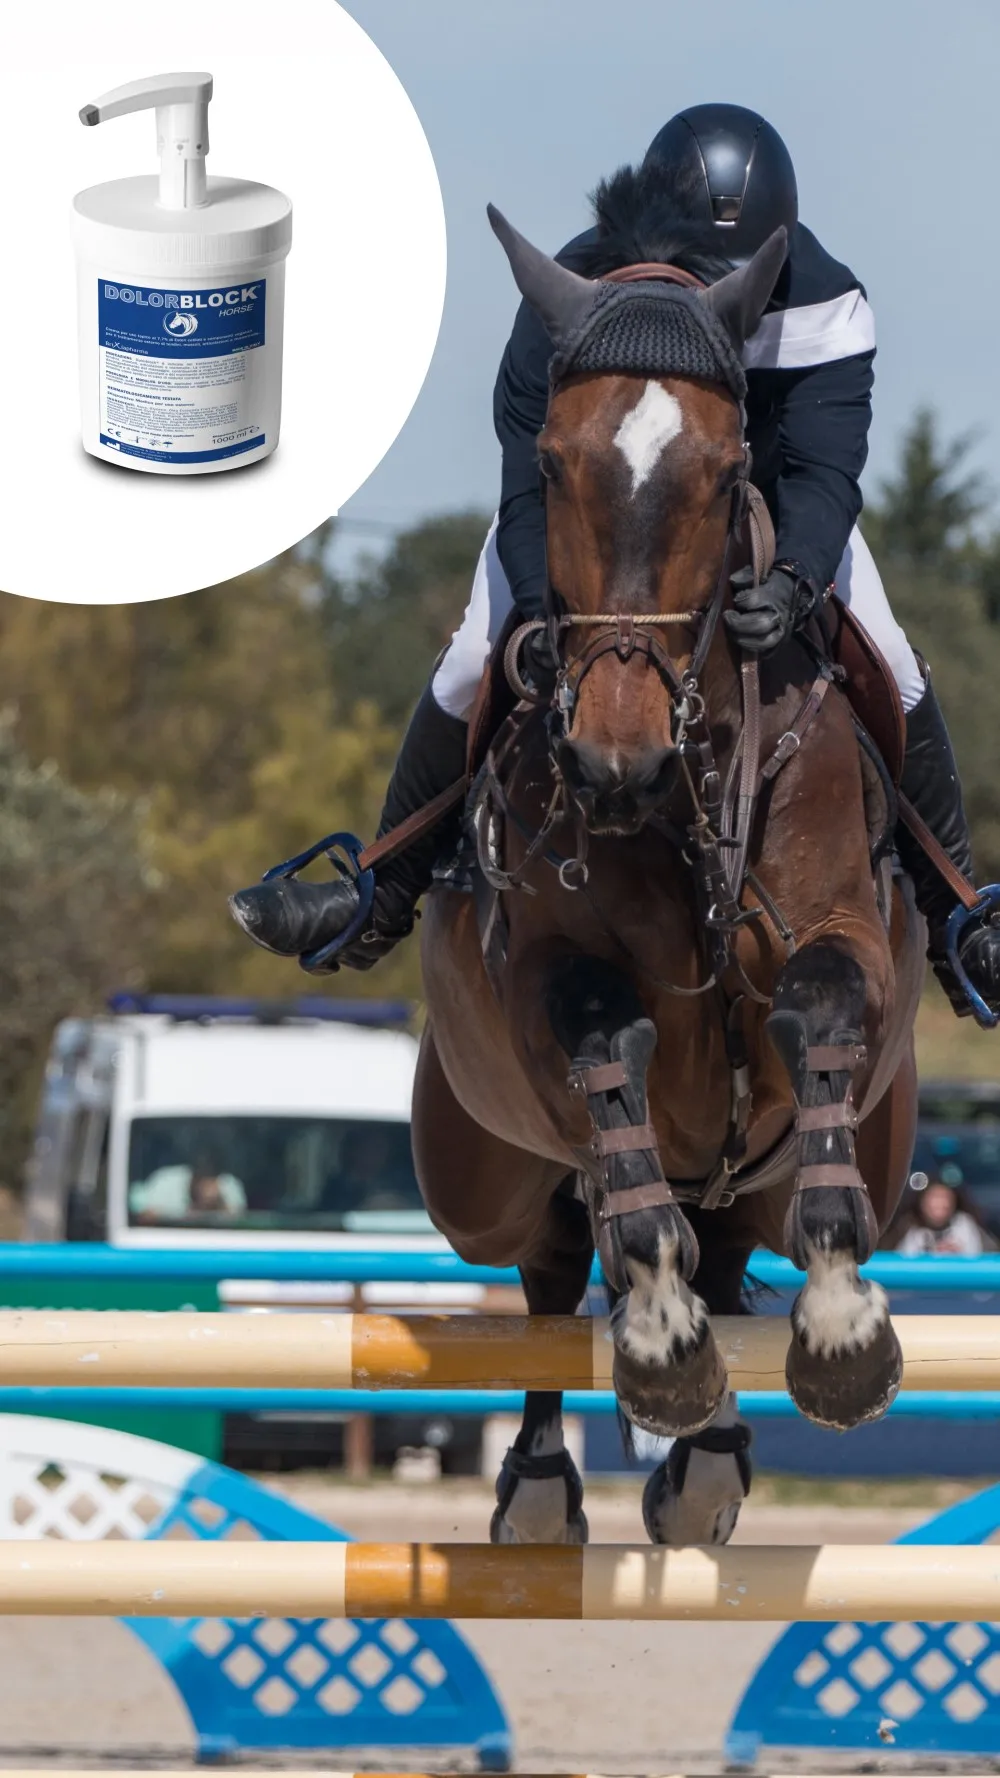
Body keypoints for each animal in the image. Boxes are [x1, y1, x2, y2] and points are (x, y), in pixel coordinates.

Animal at [411, 210, 923, 1548]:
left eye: (724, 461)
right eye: (550, 461)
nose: (612, 759)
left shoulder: (835, 925)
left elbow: (814, 1012)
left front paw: (842, 1331)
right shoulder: (553, 972)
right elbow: (609, 1060)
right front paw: (657, 1343)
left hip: (850, 1146)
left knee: (738, 1237)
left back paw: (708, 1465)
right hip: (474, 1170)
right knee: (550, 1262)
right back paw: (549, 1482)